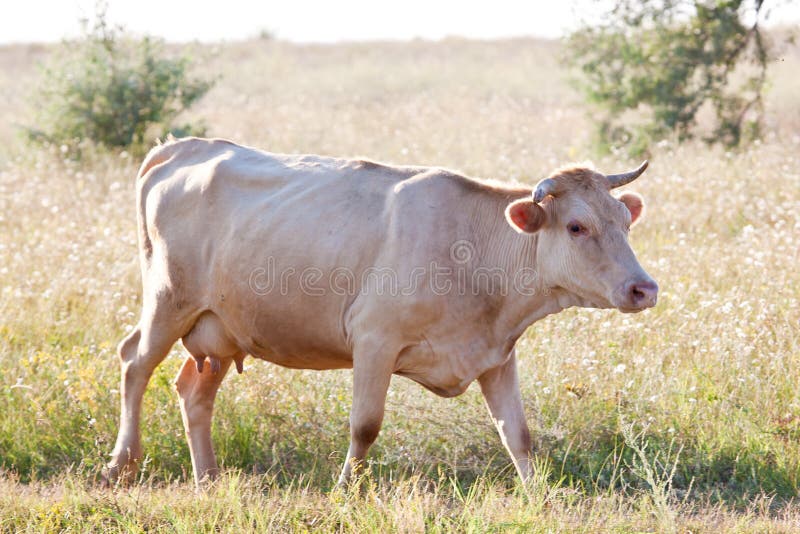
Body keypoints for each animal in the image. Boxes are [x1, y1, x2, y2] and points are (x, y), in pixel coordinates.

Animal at [105, 137, 657, 488]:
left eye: (624, 219)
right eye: (577, 227)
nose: (644, 288)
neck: (472, 249)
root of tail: (182, 147)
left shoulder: (497, 356)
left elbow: (518, 435)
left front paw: (538, 496)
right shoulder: (374, 342)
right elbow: (365, 425)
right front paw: (345, 490)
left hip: (220, 329)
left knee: (193, 392)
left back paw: (209, 478)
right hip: (168, 301)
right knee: (135, 362)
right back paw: (121, 464)